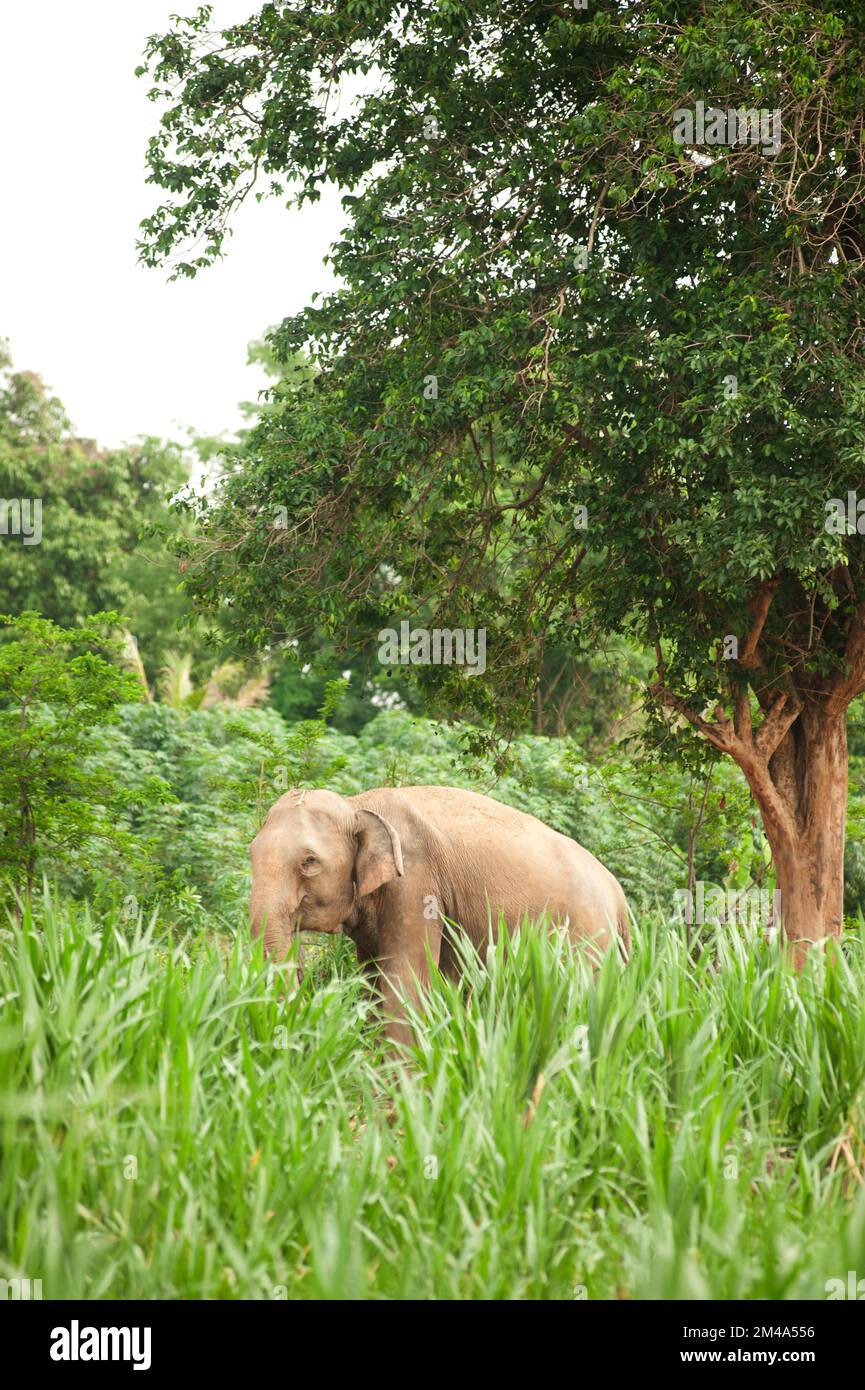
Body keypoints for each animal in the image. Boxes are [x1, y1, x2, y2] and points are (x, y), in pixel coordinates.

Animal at [249, 785, 630, 1046]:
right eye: (251, 852)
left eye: (309, 862)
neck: (359, 804)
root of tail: (619, 897)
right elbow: (374, 979)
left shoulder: (416, 883)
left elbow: (405, 979)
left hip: (586, 938)